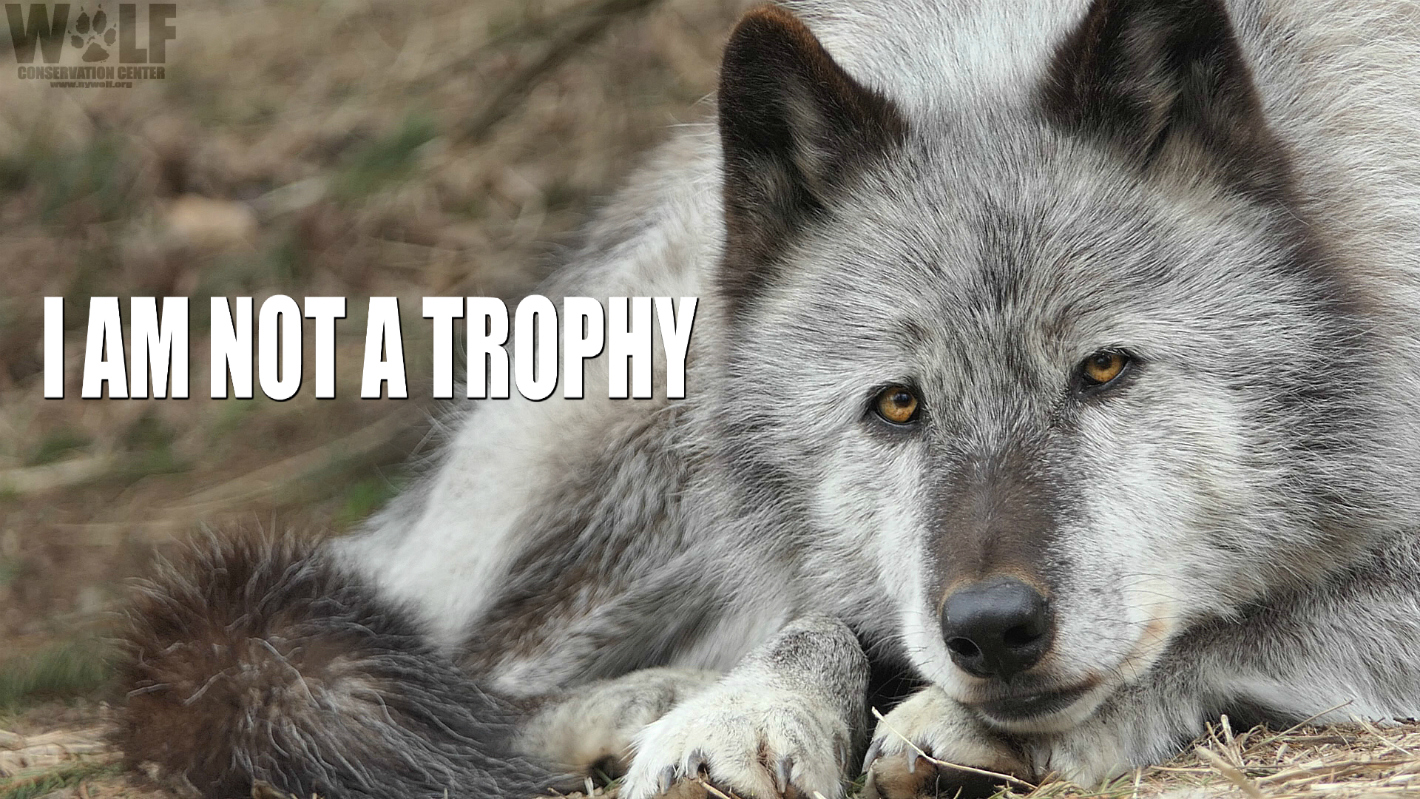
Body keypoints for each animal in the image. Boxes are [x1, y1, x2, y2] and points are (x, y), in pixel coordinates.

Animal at [117, 0, 1420, 797]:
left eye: (1102, 371)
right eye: (894, 406)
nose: (991, 627)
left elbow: (1240, 615)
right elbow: (817, 617)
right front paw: (742, 712)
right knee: (465, 665)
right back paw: (644, 700)